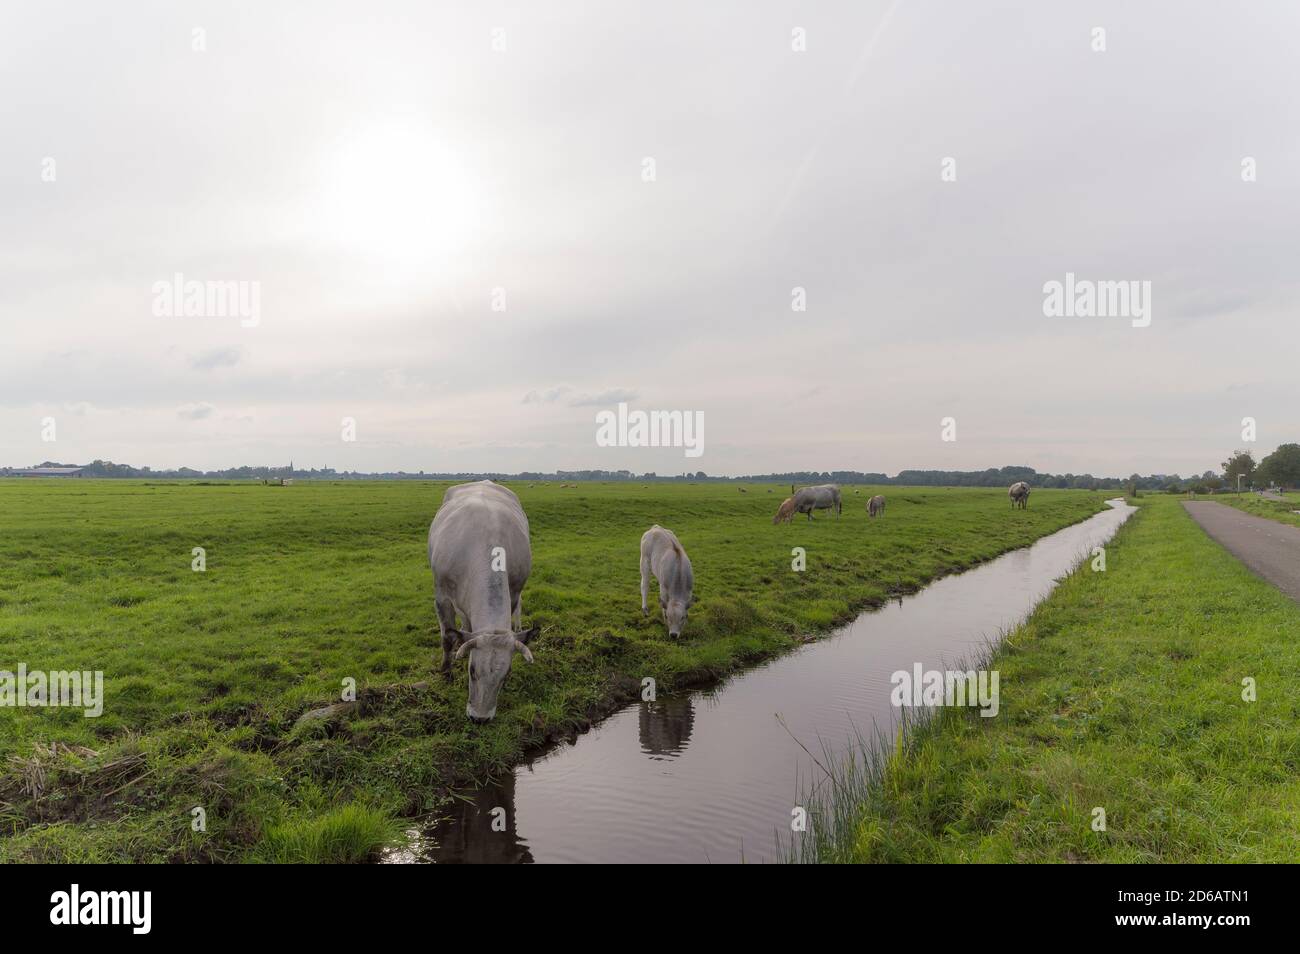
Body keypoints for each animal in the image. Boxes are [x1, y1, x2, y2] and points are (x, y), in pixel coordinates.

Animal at [428, 480, 538, 723]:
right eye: (472, 670)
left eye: (506, 675)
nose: (480, 719)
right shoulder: (442, 596)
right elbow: (447, 639)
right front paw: (446, 672)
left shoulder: (514, 594)